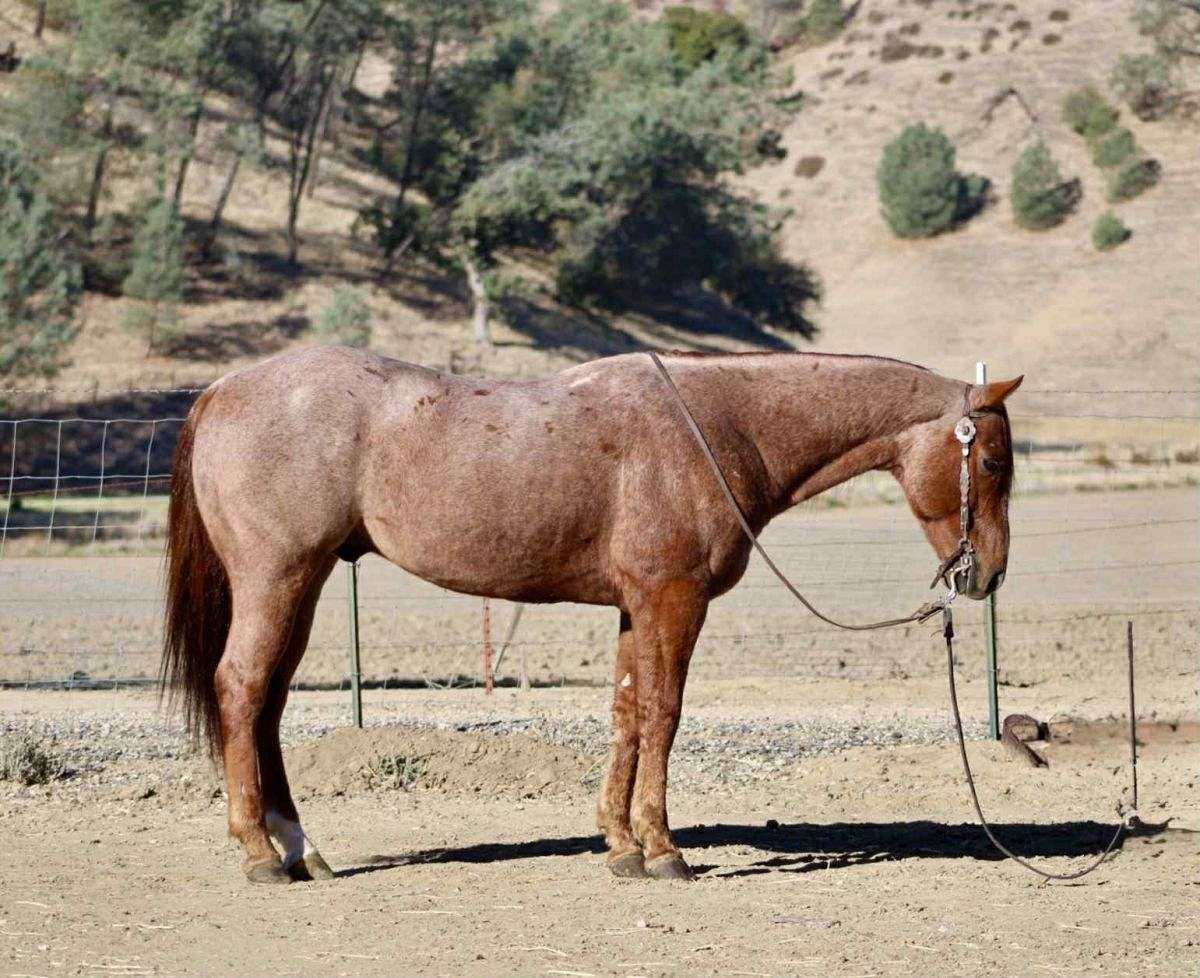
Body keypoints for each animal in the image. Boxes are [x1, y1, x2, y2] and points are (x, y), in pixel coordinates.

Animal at [161, 346, 1021, 883]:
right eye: (993, 460)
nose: (988, 574)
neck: (719, 424)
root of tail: (224, 388)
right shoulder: (673, 600)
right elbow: (665, 713)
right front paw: (664, 848)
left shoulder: (636, 607)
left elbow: (628, 713)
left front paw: (620, 843)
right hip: (278, 577)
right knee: (242, 688)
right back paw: (260, 853)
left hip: (300, 586)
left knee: (268, 704)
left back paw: (300, 848)